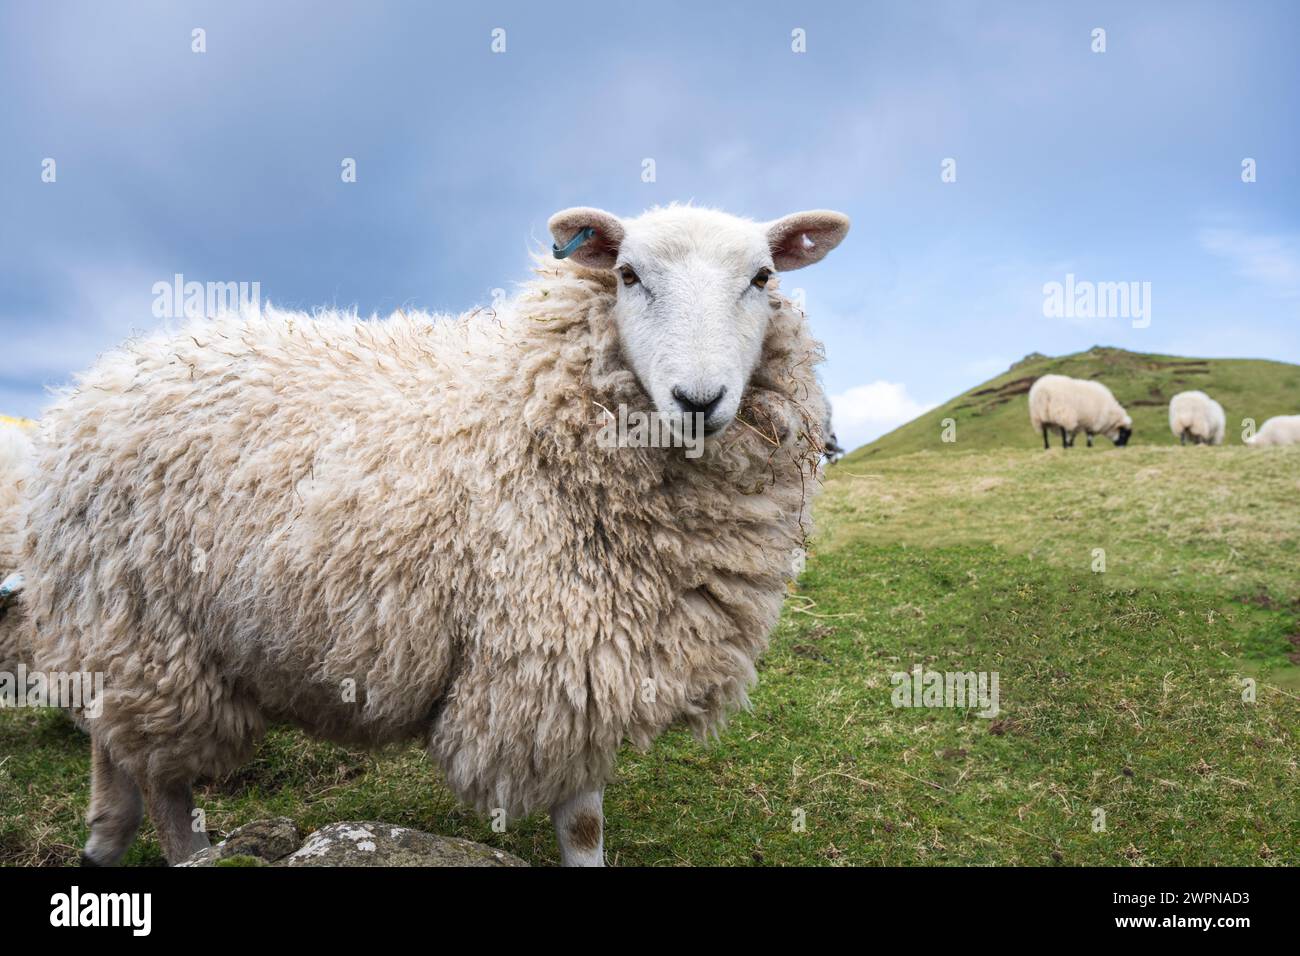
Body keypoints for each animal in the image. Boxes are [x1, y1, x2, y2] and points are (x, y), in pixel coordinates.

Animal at [12, 204, 849, 867]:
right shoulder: (555, 660)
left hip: (117, 632)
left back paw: (103, 839)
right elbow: (581, 823)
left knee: (116, 748)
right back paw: (189, 853)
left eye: (762, 278)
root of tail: (86, 392)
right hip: (150, 629)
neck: (529, 411)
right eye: (629, 275)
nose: (697, 398)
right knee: (162, 779)